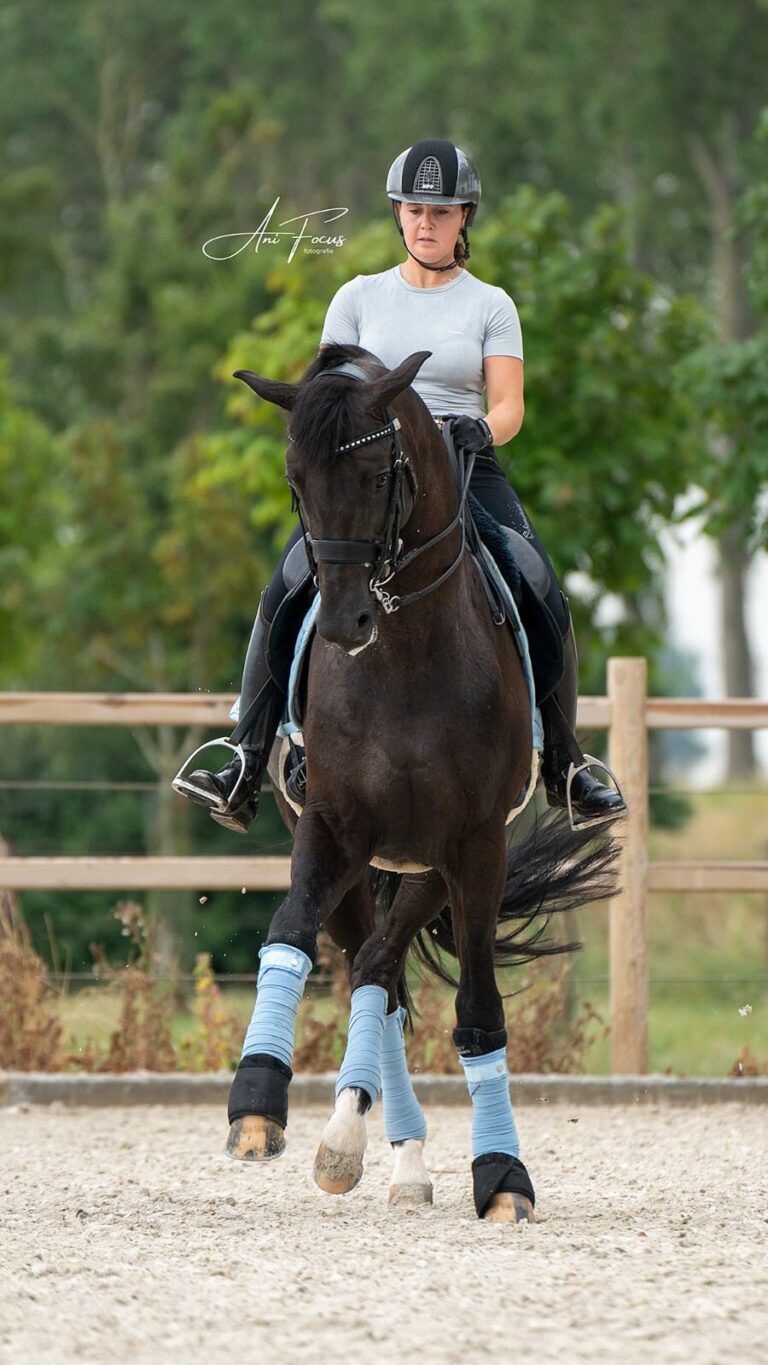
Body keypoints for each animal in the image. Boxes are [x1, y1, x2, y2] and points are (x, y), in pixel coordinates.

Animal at [223, 343, 619, 1222]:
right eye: (296, 479)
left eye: (377, 475)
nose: (344, 624)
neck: (404, 653)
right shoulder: (330, 828)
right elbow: (287, 932)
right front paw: (258, 1101)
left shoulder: (472, 844)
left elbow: (477, 1012)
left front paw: (501, 1174)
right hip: (365, 863)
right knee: (377, 972)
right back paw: (368, 1148)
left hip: (433, 864)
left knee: (382, 968)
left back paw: (382, 1151)